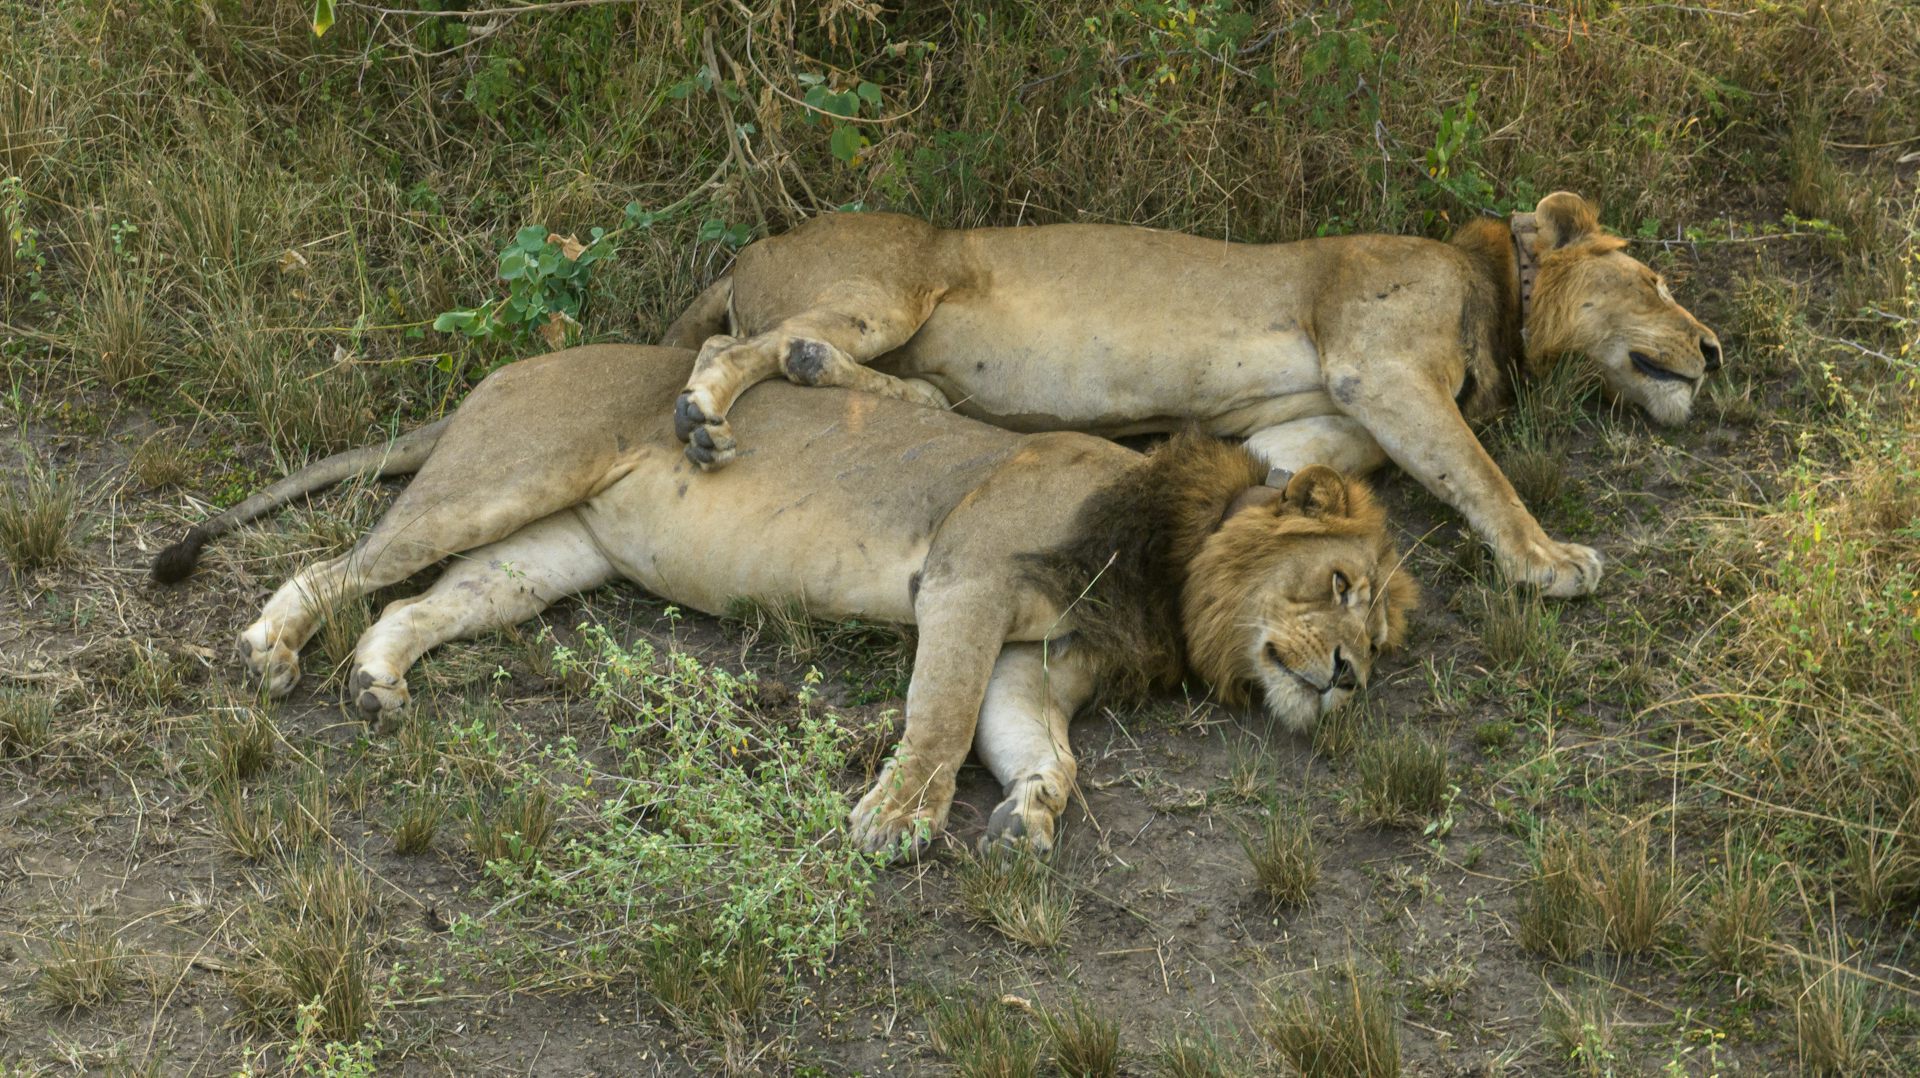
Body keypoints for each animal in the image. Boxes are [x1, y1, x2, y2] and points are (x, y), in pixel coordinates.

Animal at [152, 344, 1417, 854]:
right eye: (1340, 584)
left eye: (1386, 634)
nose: (1353, 677)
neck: (1173, 565)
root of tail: (501, 372)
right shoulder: (968, 578)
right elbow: (938, 717)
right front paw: (898, 819)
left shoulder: (1039, 660)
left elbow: (1043, 747)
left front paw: (1030, 815)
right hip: (503, 477)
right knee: (340, 568)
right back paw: (272, 651)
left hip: (546, 557)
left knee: (411, 608)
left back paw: (374, 682)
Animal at [662, 192, 1721, 598]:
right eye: (1656, 281)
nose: (1714, 349)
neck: (1497, 288)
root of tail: (754, 247)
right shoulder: (1376, 365)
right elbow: (1481, 471)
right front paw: (1549, 560)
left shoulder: (1329, 410)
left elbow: (1320, 464)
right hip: (888, 289)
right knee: (734, 344)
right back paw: (705, 419)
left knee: (789, 350)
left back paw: (887, 394)